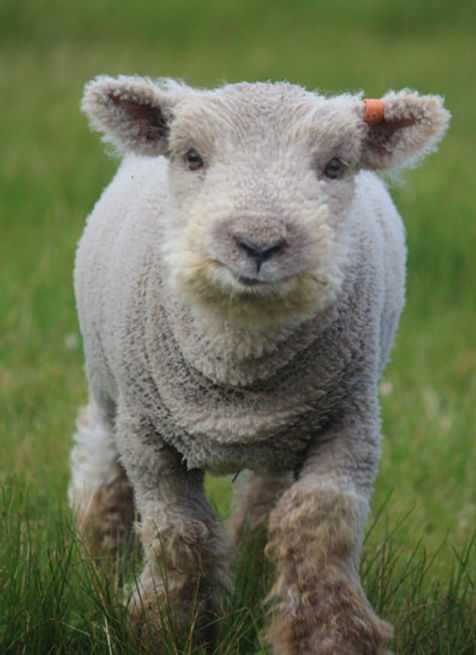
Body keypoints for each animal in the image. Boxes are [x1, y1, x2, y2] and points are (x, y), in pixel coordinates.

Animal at [69, 75, 449, 654]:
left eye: (335, 166)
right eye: (192, 157)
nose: (259, 243)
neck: (237, 368)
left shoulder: (350, 423)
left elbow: (318, 521)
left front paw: (329, 635)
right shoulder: (148, 436)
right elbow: (181, 535)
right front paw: (169, 629)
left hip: (288, 429)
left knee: (264, 499)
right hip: (108, 386)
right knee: (103, 466)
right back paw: (99, 556)